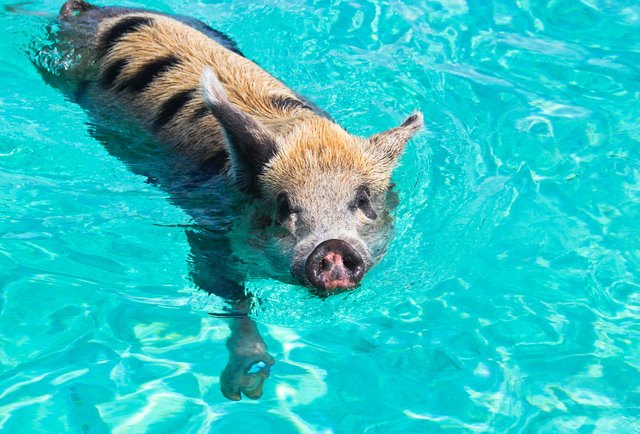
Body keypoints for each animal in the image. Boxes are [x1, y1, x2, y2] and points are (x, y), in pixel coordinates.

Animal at [40, 0, 423, 400]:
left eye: (362, 201)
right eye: (283, 205)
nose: (331, 246)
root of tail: (91, 10)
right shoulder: (209, 232)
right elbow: (228, 293)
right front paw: (247, 384)